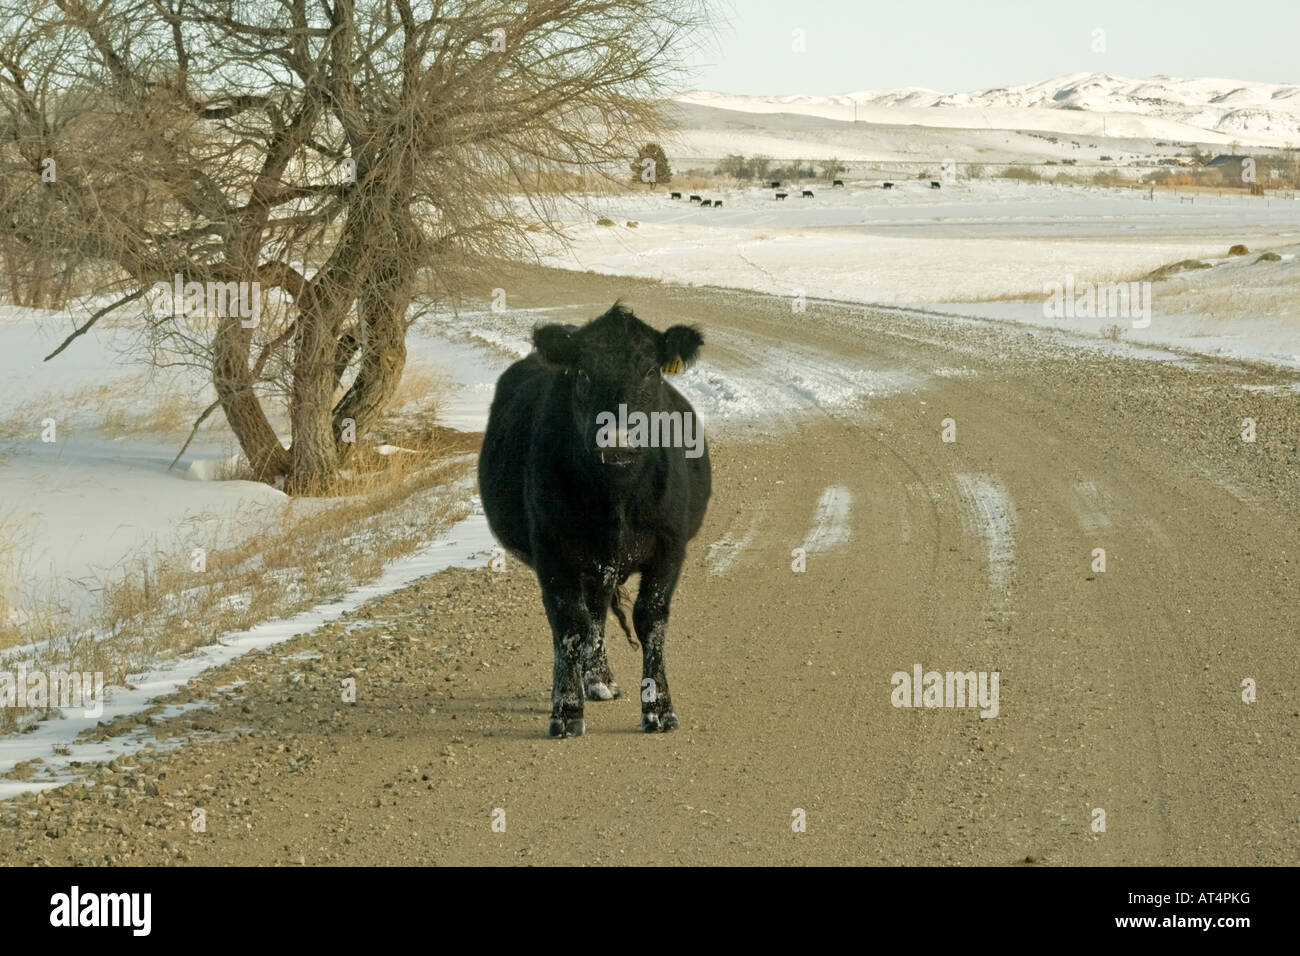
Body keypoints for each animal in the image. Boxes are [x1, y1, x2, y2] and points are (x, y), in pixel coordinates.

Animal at [478, 303, 712, 737]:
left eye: (650, 371)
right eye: (583, 374)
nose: (617, 441)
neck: (616, 495)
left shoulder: (670, 547)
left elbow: (650, 620)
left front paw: (659, 709)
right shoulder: (552, 551)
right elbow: (569, 624)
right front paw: (567, 710)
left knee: (600, 611)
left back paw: (600, 679)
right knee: (590, 617)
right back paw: (595, 679)